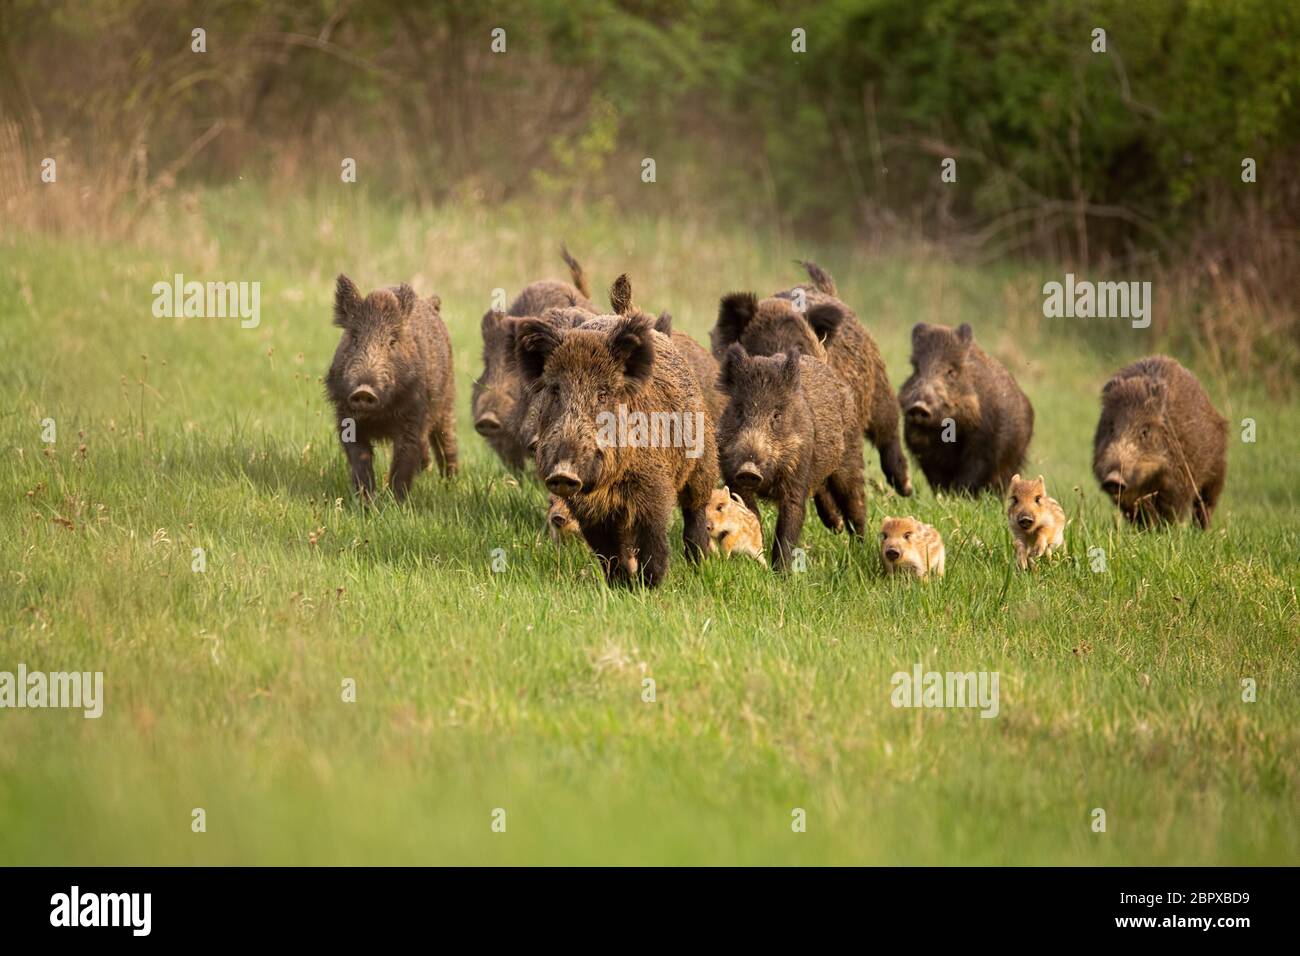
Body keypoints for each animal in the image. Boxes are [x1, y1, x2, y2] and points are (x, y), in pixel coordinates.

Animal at [325, 275, 457, 501]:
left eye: (392, 342)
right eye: (355, 338)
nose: (364, 391)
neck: (379, 417)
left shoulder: (413, 416)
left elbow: (404, 459)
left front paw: (397, 502)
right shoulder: (346, 417)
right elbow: (360, 458)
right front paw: (365, 502)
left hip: (447, 402)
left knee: (447, 441)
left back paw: (452, 484)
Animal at [515, 298, 719, 588]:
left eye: (602, 394)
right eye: (555, 391)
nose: (563, 473)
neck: (608, 484)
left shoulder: (654, 488)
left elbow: (653, 538)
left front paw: (649, 585)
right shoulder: (588, 511)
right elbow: (607, 550)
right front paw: (619, 585)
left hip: (703, 460)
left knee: (695, 509)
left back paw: (699, 562)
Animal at [716, 344, 865, 570]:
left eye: (776, 415)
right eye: (740, 412)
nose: (748, 470)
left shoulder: (797, 476)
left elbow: (790, 523)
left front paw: (781, 573)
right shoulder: (733, 477)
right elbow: (751, 514)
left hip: (850, 456)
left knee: (855, 501)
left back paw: (860, 547)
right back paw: (838, 527)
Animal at [898, 322, 1033, 495]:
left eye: (951, 371)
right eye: (916, 369)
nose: (918, 406)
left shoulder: (984, 445)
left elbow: (970, 475)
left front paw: (958, 496)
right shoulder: (923, 450)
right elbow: (937, 479)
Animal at [1092, 355, 1227, 528]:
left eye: (1144, 431)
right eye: (1111, 427)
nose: (1114, 478)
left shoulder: (1178, 480)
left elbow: (1170, 510)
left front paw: (1164, 530)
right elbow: (1138, 511)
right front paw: (1144, 530)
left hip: (1216, 470)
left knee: (1205, 505)